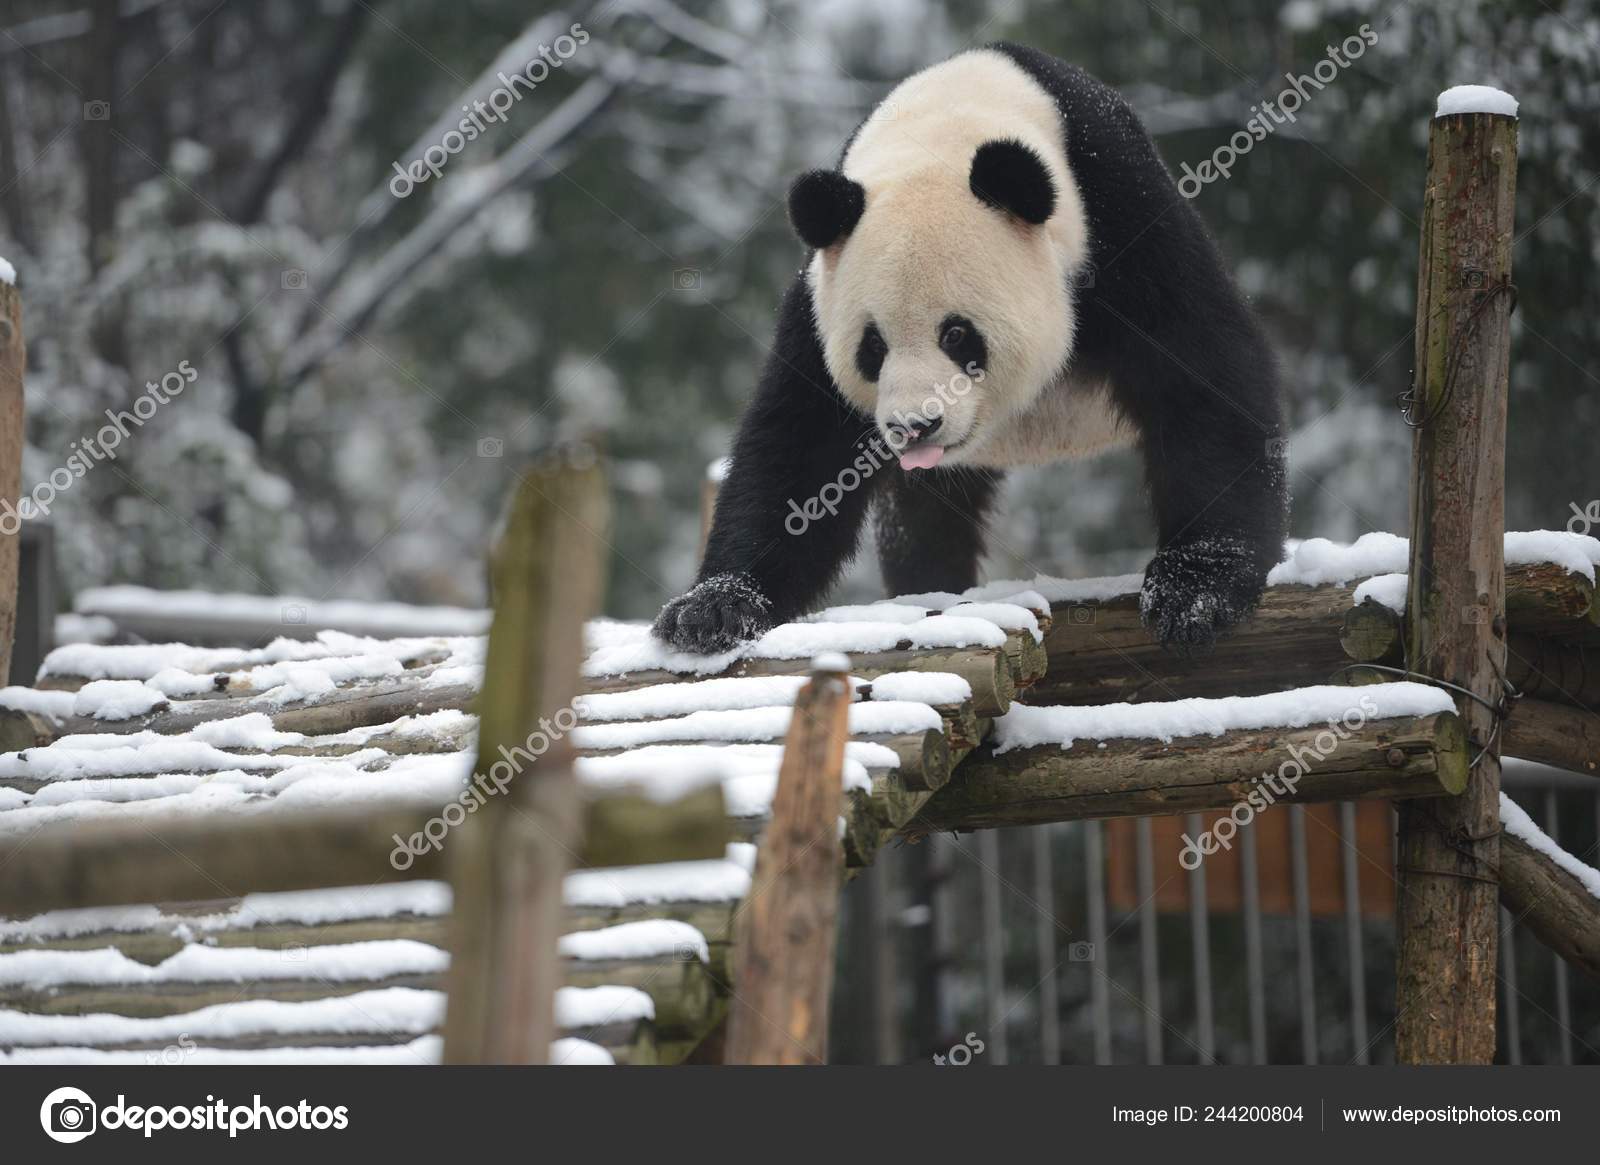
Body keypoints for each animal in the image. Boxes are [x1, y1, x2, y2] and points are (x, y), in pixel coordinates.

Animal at [653, 43, 1288, 655]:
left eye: (956, 334)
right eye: (872, 346)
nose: (914, 425)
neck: (946, 128)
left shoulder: (1119, 218)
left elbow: (1202, 374)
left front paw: (1194, 591)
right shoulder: (818, 298)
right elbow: (798, 447)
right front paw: (712, 609)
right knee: (921, 521)